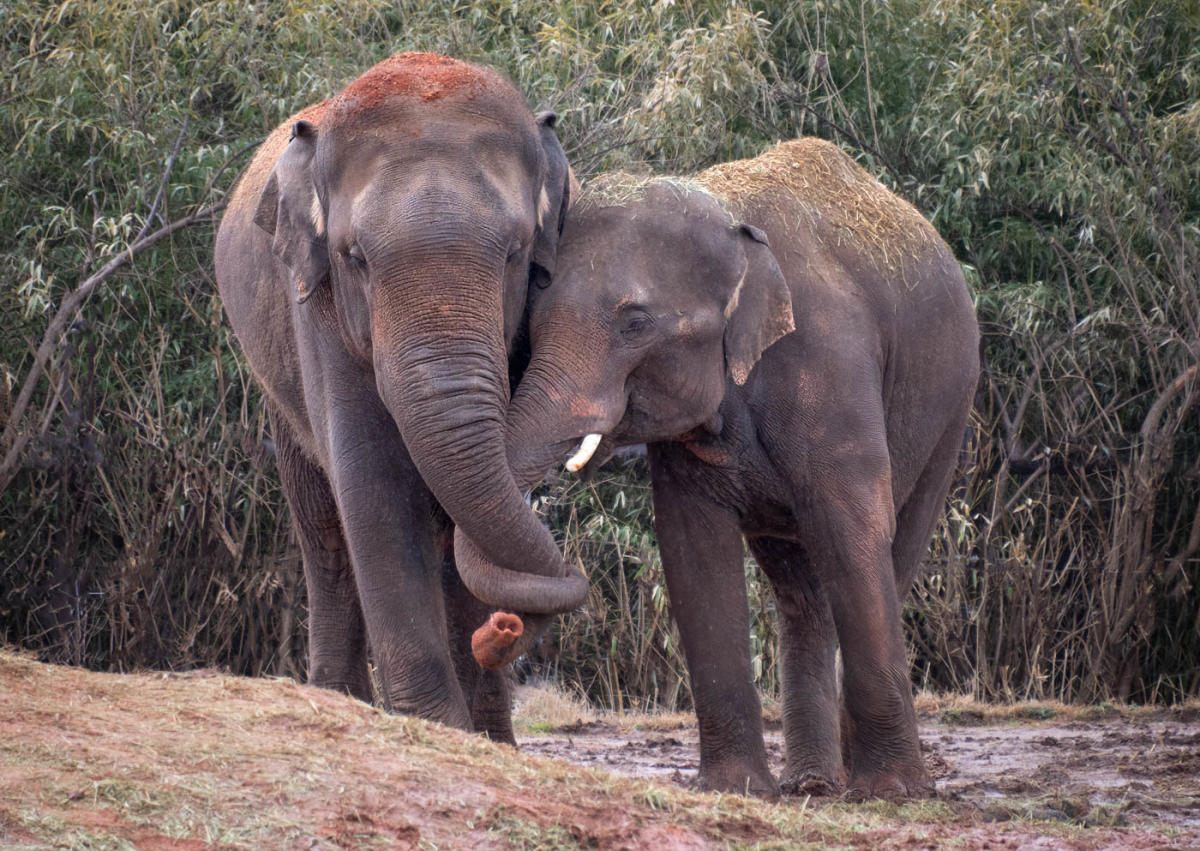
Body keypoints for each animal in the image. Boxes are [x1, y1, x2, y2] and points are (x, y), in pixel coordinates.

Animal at [213, 53, 589, 739]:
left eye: (516, 252)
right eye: (355, 257)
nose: (507, 627)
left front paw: (477, 738)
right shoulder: (318, 308)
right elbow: (375, 485)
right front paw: (438, 726)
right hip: (277, 391)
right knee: (325, 536)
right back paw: (342, 698)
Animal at [478, 138, 980, 798]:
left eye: (635, 324)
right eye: (531, 322)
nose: (504, 628)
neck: (726, 212)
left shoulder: (829, 365)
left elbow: (852, 532)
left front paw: (892, 793)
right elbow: (693, 550)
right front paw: (733, 789)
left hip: (950, 411)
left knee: (892, 554)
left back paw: (853, 780)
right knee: (801, 592)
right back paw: (812, 784)